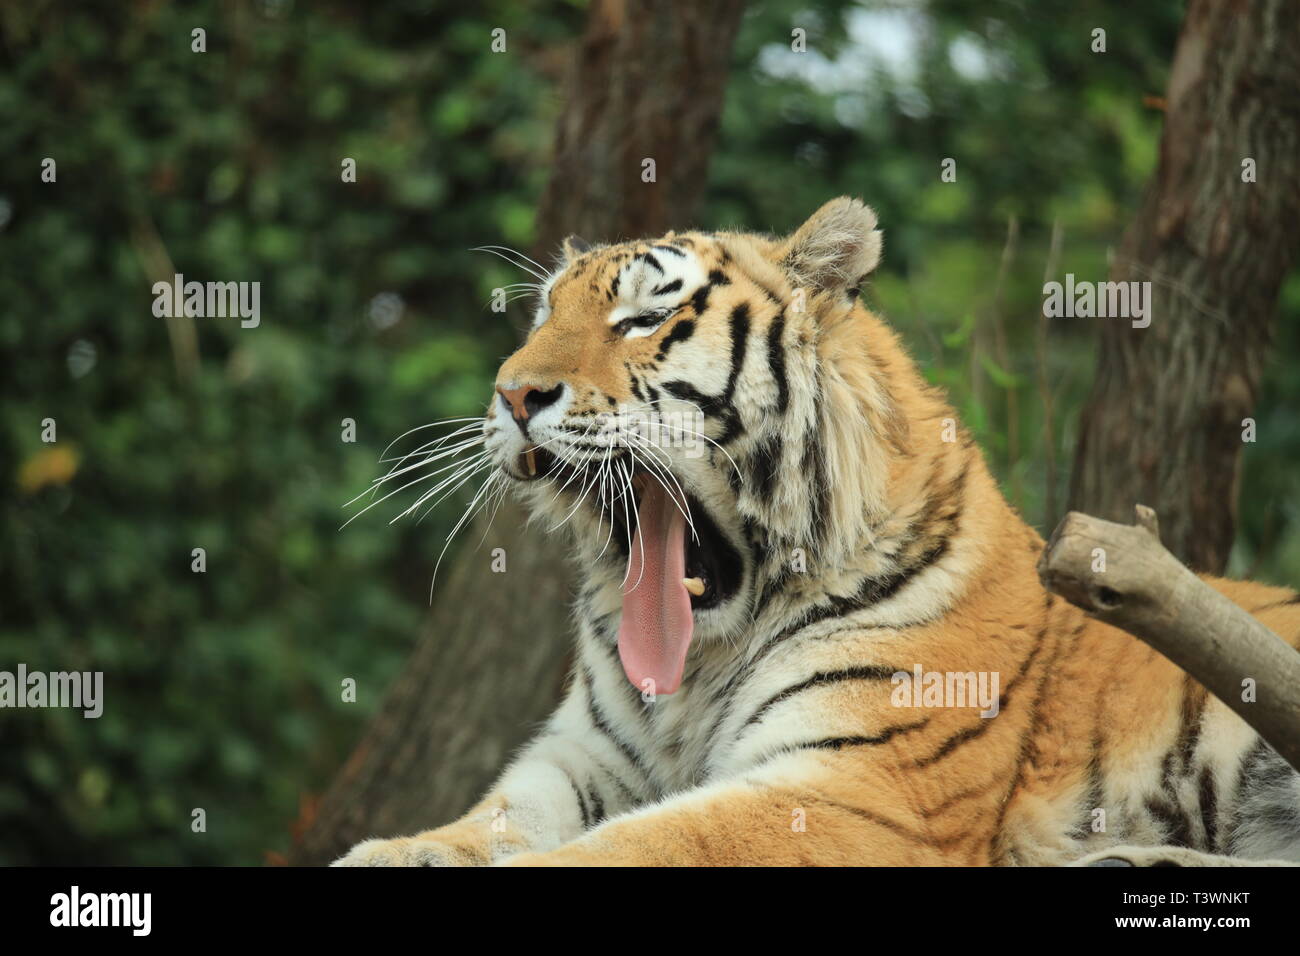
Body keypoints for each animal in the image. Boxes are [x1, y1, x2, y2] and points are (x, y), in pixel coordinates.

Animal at [334, 197, 1300, 867]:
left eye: (644, 320)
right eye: (543, 319)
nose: (512, 395)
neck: (701, 667)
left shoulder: (853, 786)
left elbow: (639, 846)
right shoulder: (584, 756)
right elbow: (494, 817)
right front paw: (391, 851)